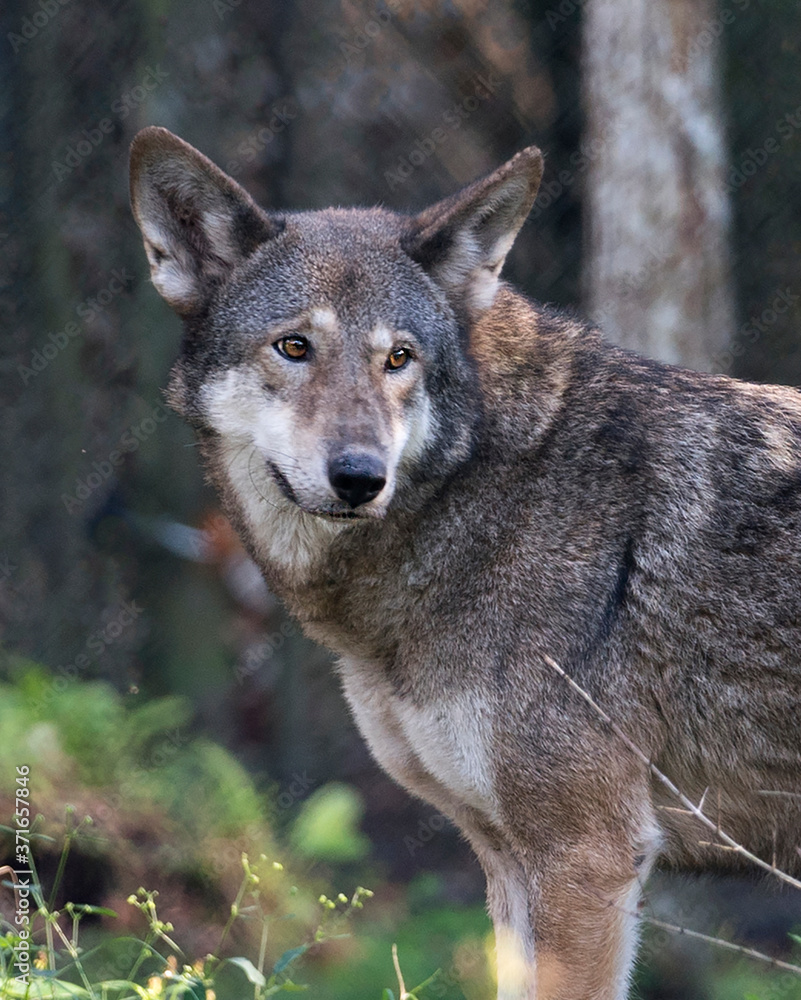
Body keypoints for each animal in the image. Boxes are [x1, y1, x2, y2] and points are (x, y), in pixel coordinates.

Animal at [130, 126, 801, 999]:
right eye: (294, 347)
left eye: (398, 358)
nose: (359, 477)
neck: (483, 488)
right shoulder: (506, 858)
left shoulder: (584, 856)